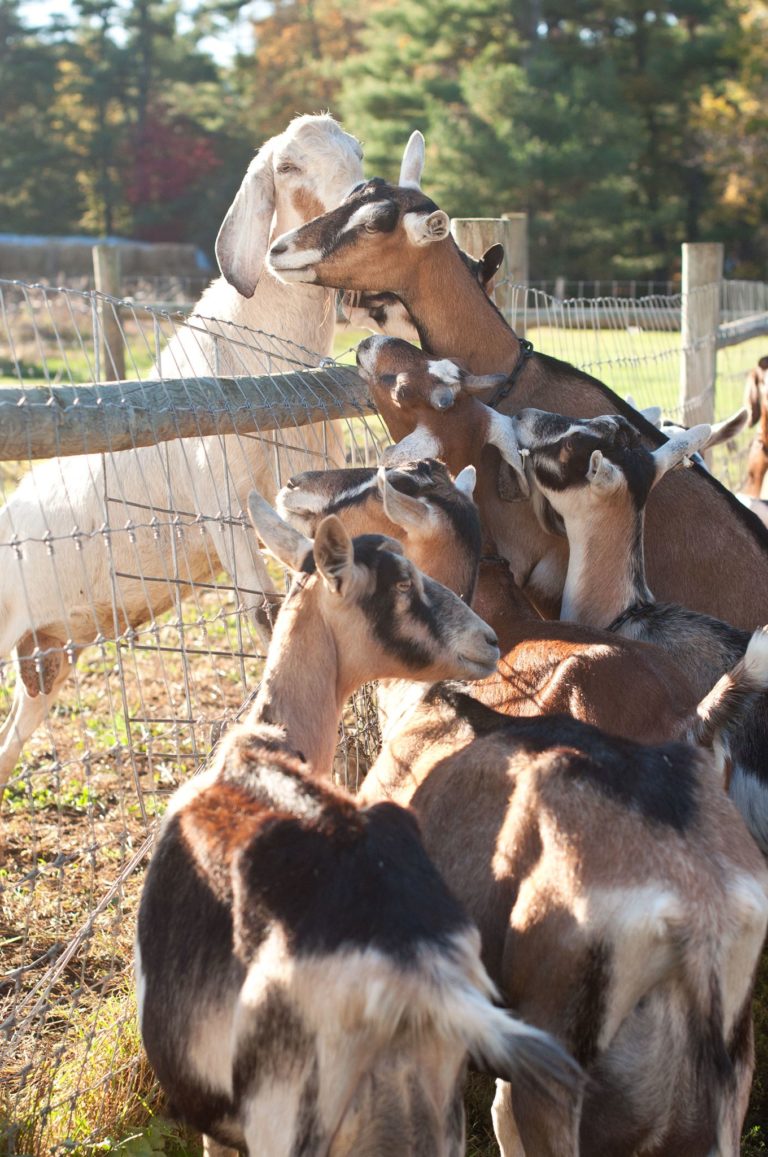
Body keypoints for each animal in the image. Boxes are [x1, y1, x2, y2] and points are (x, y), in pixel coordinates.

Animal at [0, 114, 364, 790]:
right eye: (287, 167)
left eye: (355, 151)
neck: (265, 370)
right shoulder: (222, 502)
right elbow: (266, 614)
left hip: (48, 650)